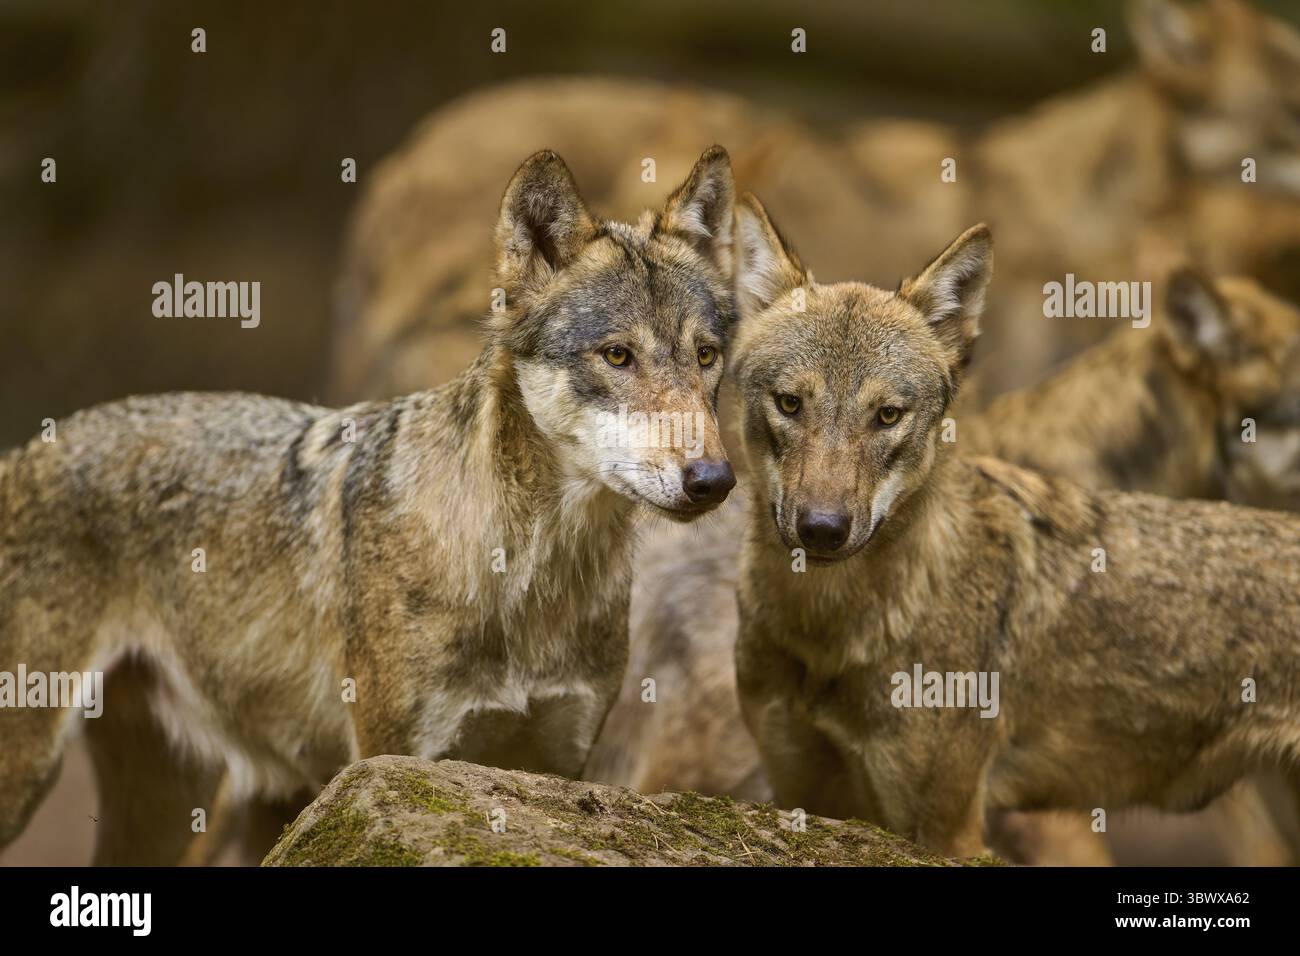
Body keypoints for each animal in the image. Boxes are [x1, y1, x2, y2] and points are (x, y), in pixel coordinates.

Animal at [0, 147, 739, 864]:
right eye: (617, 355)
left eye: (706, 356)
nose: (713, 479)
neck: (530, 580)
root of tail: (25, 450)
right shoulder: (395, 756)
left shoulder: (559, 769)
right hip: (40, 773)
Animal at [724, 196, 1300, 857]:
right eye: (789, 404)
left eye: (887, 416)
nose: (822, 528)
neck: (827, 634)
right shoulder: (804, 792)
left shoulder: (952, 828)